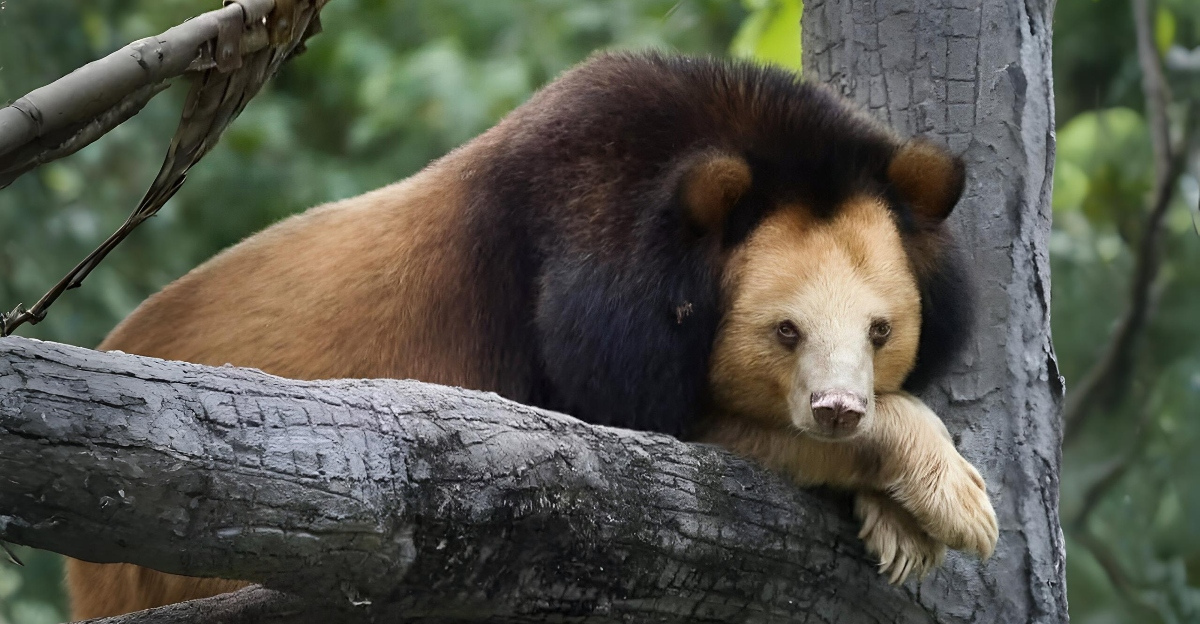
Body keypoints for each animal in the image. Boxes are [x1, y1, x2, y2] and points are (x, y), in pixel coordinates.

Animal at [66, 52, 997, 619]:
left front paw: (900, 524)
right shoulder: (580, 302)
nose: (838, 410)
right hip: (149, 568)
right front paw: (953, 500)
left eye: (881, 329)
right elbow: (648, 428)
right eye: (785, 331)